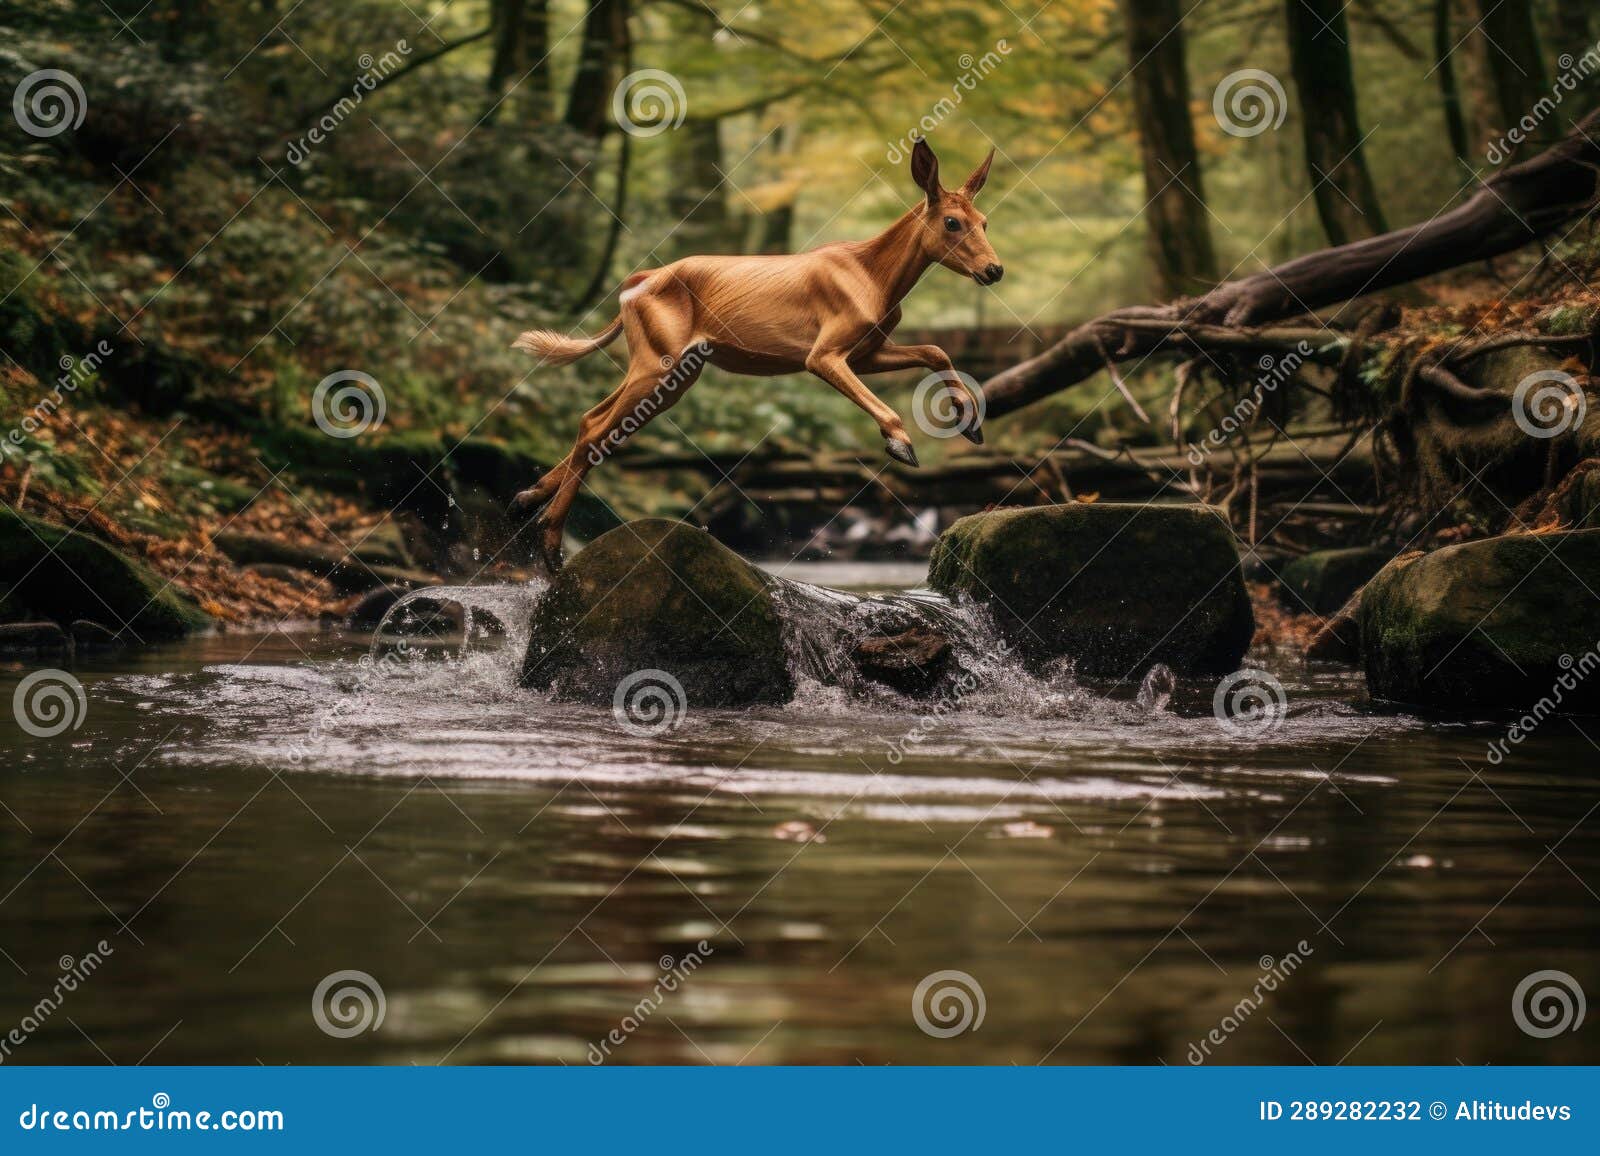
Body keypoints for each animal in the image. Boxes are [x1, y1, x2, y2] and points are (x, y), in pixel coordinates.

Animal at [510, 138, 1002, 571]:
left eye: (984, 221)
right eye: (952, 223)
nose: (994, 270)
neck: (874, 277)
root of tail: (633, 285)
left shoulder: (867, 351)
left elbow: (936, 350)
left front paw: (971, 423)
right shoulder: (822, 354)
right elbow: (895, 397)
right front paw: (901, 442)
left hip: (674, 372)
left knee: (596, 424)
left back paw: (526, 499)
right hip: (657, 362)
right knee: (596, 426)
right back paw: (550, 545)